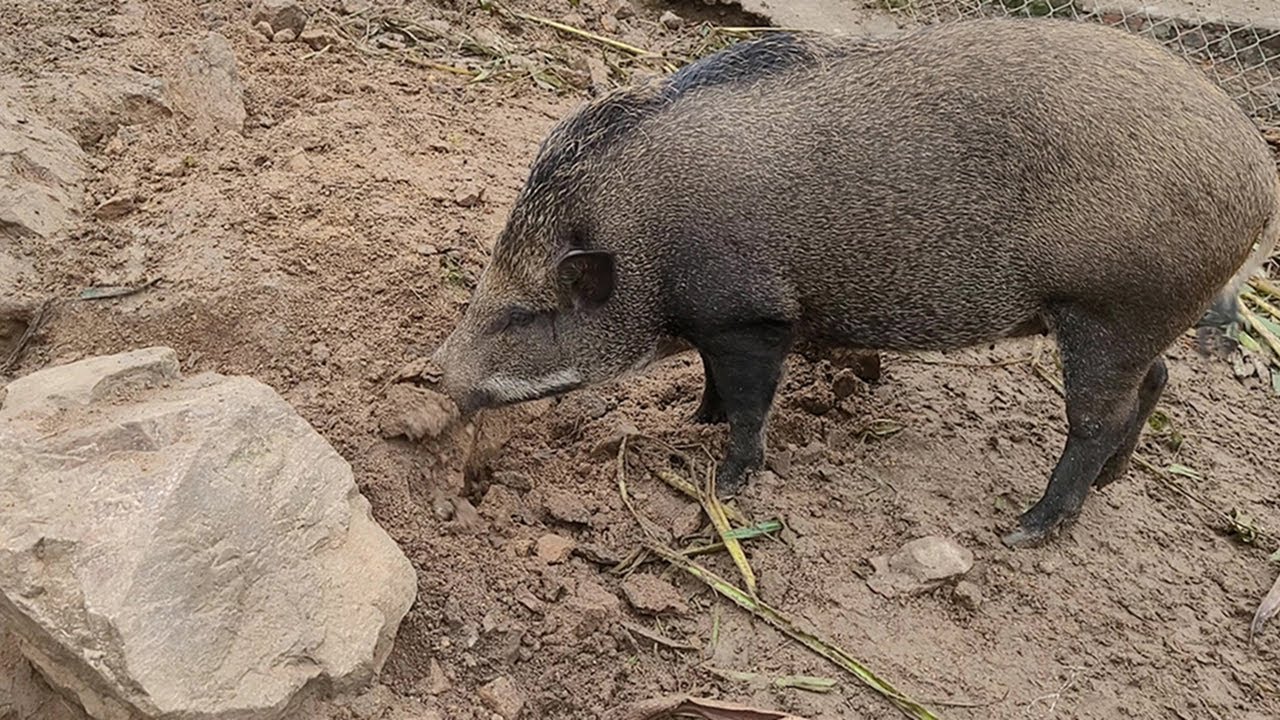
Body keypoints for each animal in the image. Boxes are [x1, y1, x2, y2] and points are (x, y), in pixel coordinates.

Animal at [428, 17, 1280, 547]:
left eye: (523, 314)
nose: (432, 377)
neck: (645, 243)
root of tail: (1257, 175)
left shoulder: (752, 315)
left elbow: (749, 406)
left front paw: (727, 483)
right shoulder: (718, 325)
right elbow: (712, 385)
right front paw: (695, 421)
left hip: (1110, 310)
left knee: (1097, 419)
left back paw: (1028, 529)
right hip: (1138, 321)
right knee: (1157, 382)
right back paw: (1112, 486)